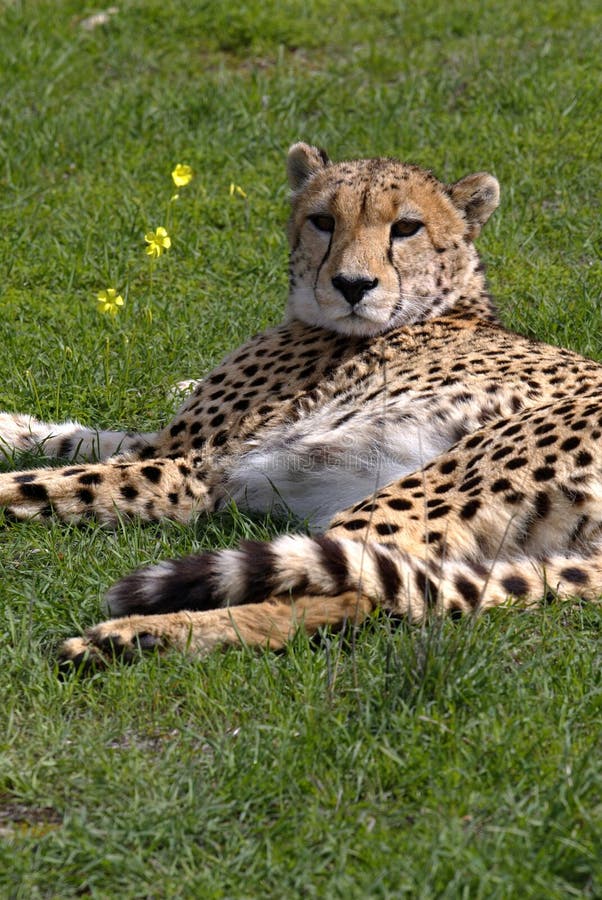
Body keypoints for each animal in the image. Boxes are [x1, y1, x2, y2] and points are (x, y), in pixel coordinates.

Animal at [1, 142, 601, 667]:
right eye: (323, 221)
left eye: (406, 227)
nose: (353, 284)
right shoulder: (170, 448)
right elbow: (73, 441)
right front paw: (14, 427)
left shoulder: (191, 471)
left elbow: (48, 480)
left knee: (369, 592)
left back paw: (137, 634)